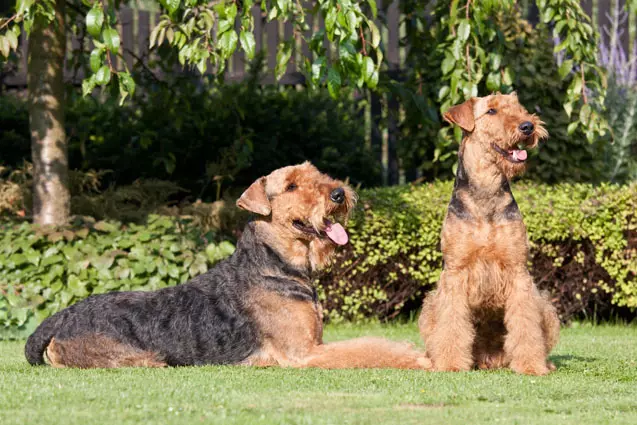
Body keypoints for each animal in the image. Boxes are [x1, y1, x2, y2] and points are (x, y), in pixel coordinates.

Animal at [27, 162, 430, 368]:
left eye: (316, 175)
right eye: (291, 186)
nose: (338, 193)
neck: (274, 264)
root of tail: (60, 316)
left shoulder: (313, 343)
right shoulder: (302, 353)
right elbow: (368, 349)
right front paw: (415, 356)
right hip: (144, 360)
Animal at [420, 93, 560, 374]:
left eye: (517, 107)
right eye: (492, 111)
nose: (528, 126)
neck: (486, 191)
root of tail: (488, 358)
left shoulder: (518, 271)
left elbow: (525, 327)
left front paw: (530, 366)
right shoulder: (455, 272)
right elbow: (451, 325)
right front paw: (451, 364)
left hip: (545, 307)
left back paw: (545, 364)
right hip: (430, 307)